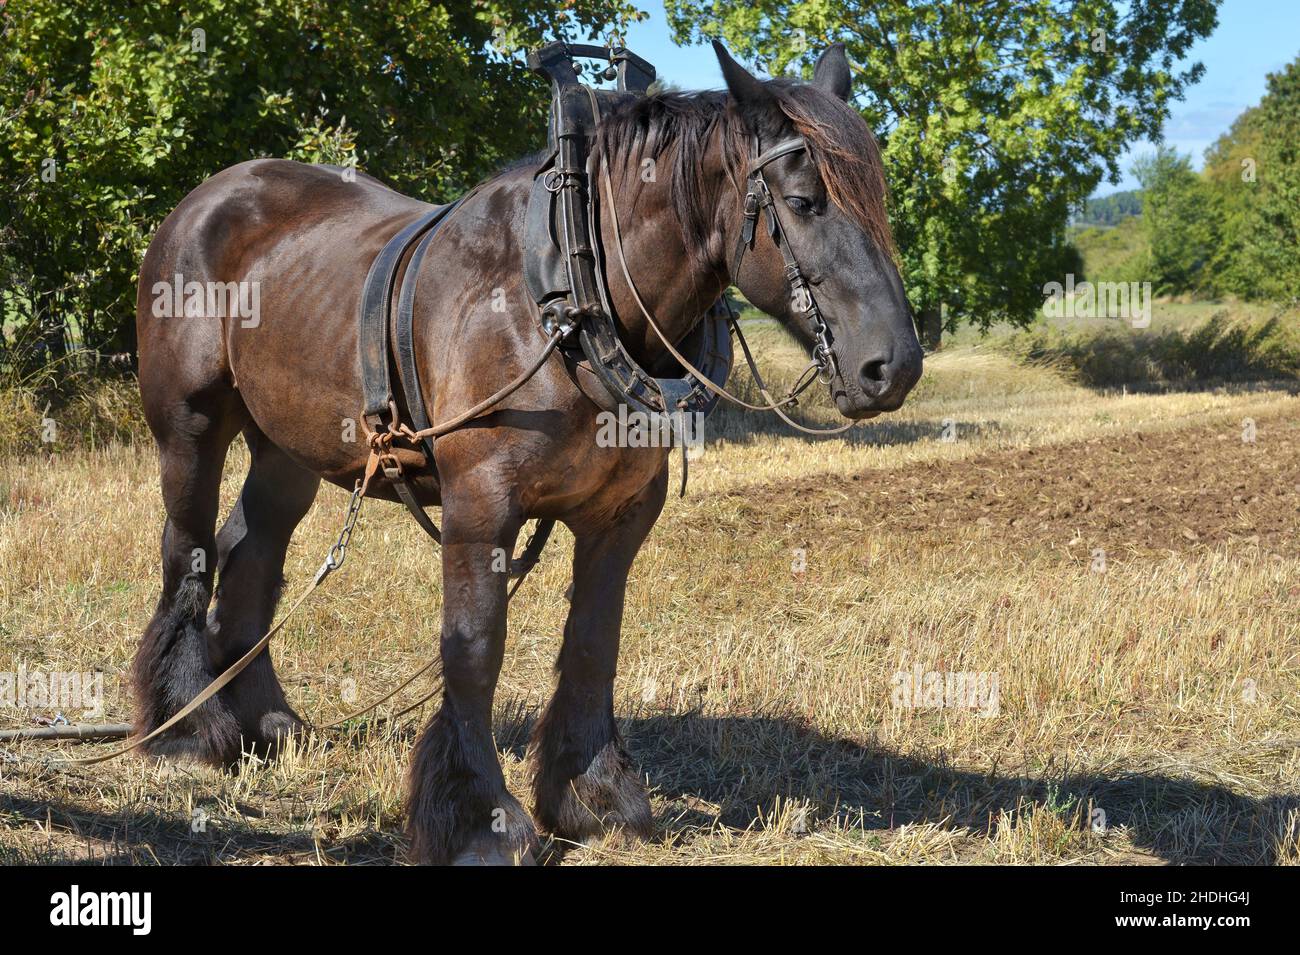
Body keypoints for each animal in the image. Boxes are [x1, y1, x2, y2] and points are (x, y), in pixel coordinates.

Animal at [131, 41, 923, 864]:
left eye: (877, 199)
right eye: (803, 201)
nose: (893, 366)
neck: (566, 298)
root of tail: (210, 195)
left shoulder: (620, 516)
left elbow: (594, 642)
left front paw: (595, 796)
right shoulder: (480, 506)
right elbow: (474, 649)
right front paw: (479, 817)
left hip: (289, 448)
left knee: (251, 550)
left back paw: (268, 724)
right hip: (189, 425)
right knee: (188, 547)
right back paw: (189, 726)